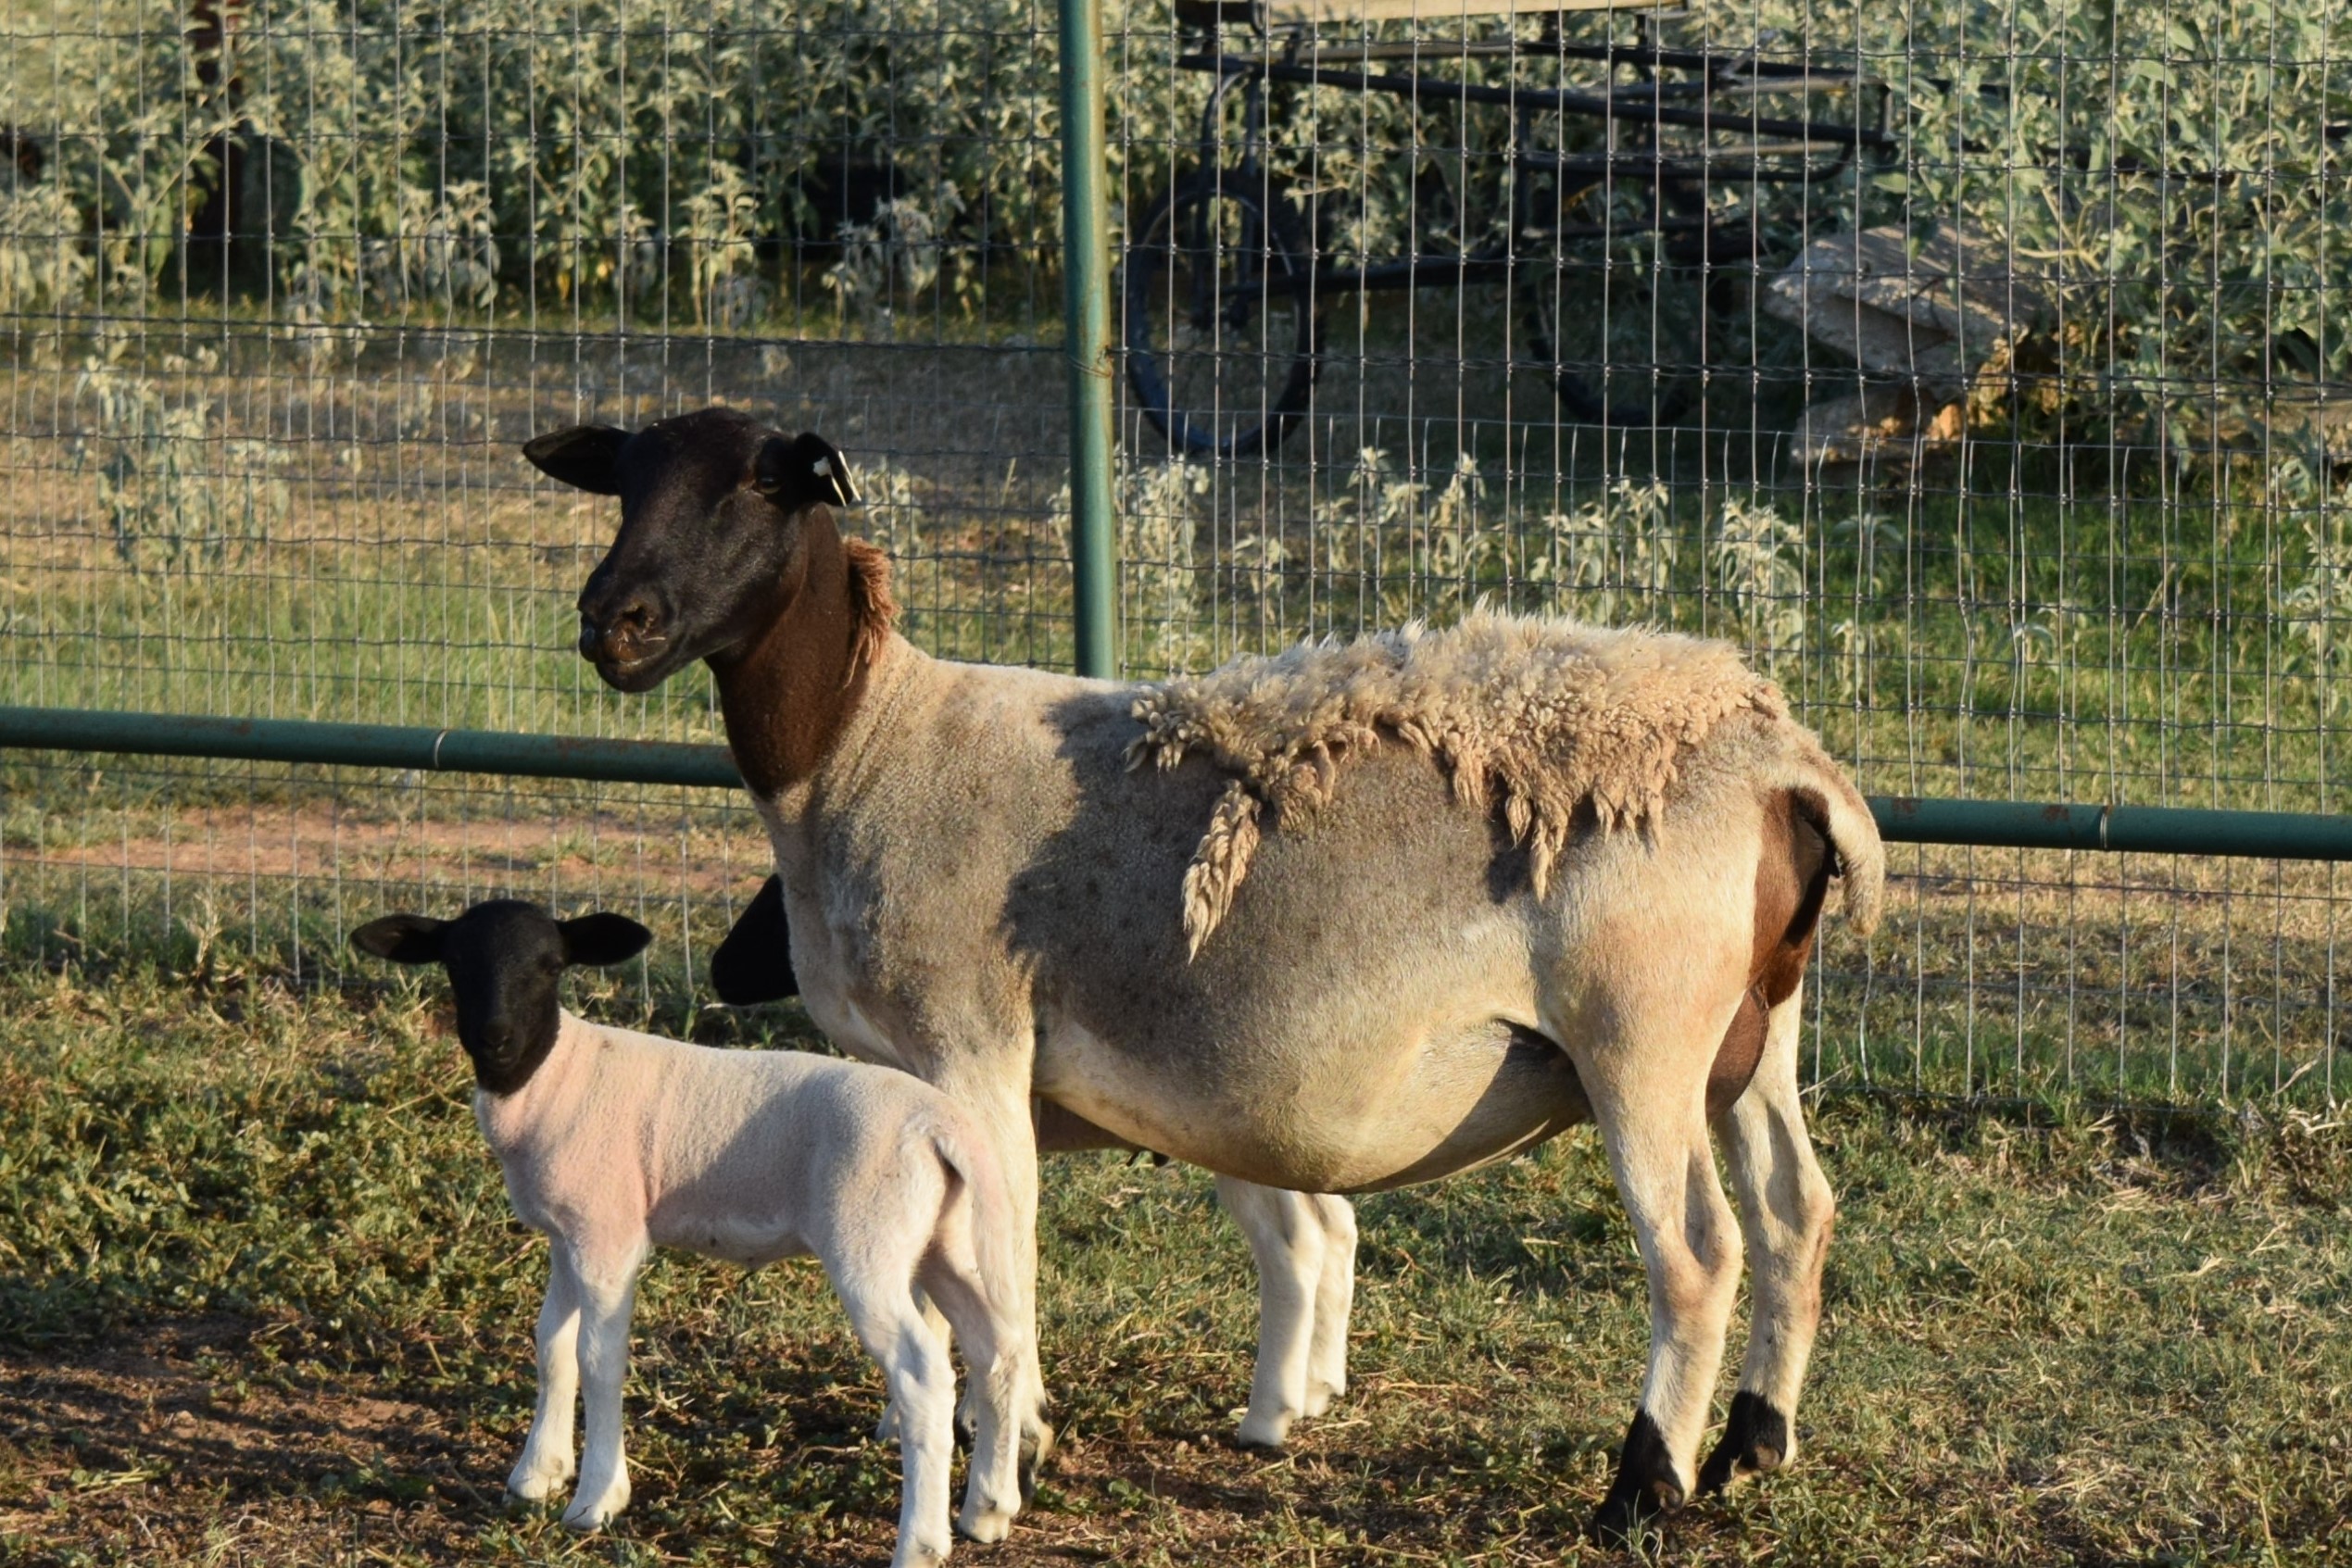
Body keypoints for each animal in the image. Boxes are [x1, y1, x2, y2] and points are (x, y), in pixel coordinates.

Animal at [349, 899, 1033, 1568]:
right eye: (454, 962)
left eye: (551, 966)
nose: (496, 1039)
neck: (553, 1076)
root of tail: (942, 1126)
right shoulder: (567, 1234)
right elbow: (551, 1345)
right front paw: (537, 1473)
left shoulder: (609, 1232)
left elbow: (598, 1357)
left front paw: (596, 1499)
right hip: (945, 1242)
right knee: (997, 1348)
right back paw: (988, 1510)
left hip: (870, 1240)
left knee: (923, 1377)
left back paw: (920, 1543)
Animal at [532, 406, 1883, 1541]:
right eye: (626, 484)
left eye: (757, 492)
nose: (612, 622)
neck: (866, 743)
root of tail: (1786, 764)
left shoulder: (972, 1047)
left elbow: (1002, 1261)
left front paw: (1007, 1457)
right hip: (1752, 1033)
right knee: (1794, 1211)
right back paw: (1753, 1445)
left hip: (1640, 1033)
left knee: (1697, 1253)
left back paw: (1643, 1490)